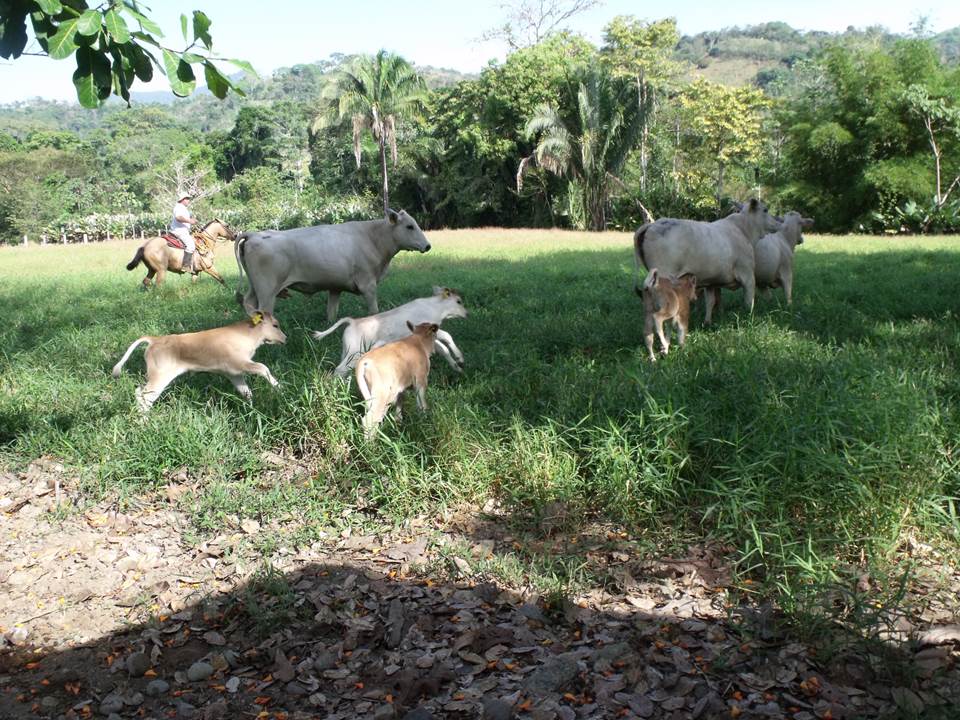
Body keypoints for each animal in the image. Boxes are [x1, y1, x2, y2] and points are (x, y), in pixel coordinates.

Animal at [111, 312, 286, 413]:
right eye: (275, 325)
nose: (285, 338)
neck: (245, 334)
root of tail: (155, 339)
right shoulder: (239, 363)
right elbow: (263, 367)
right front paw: (280, 389)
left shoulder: (233, 373)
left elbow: (246, 392)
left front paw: (252, 409)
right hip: (160, 377)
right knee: (145, 395)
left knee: (139, 391)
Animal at [235, 209, 432, 322]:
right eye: (409, 226)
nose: (428, 246)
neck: (372, 237)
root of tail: (254, 234)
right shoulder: (368, 284)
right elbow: (374, 311)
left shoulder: (335, 287)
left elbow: (332, 312)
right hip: (267, 291)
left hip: (255, 287)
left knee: (248, 304)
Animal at [311, 286, 468, 378]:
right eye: (459, 301)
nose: (467, 313)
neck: (434, 307)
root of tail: (352, 321)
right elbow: (446, 336)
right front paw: (460, 358)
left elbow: (443, 349)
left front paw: (458, 365)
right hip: (355, 352)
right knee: (339, 369)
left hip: (347, 351)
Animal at [634, 199, 779, 325]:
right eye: (765, 210)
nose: (779, 221)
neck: (743, 230)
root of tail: (652, 225)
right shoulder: (748, 275)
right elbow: (749, 301)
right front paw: (749, 318)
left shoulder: (711, 282)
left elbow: (711, 301)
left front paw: (707, 321)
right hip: (663, 275)